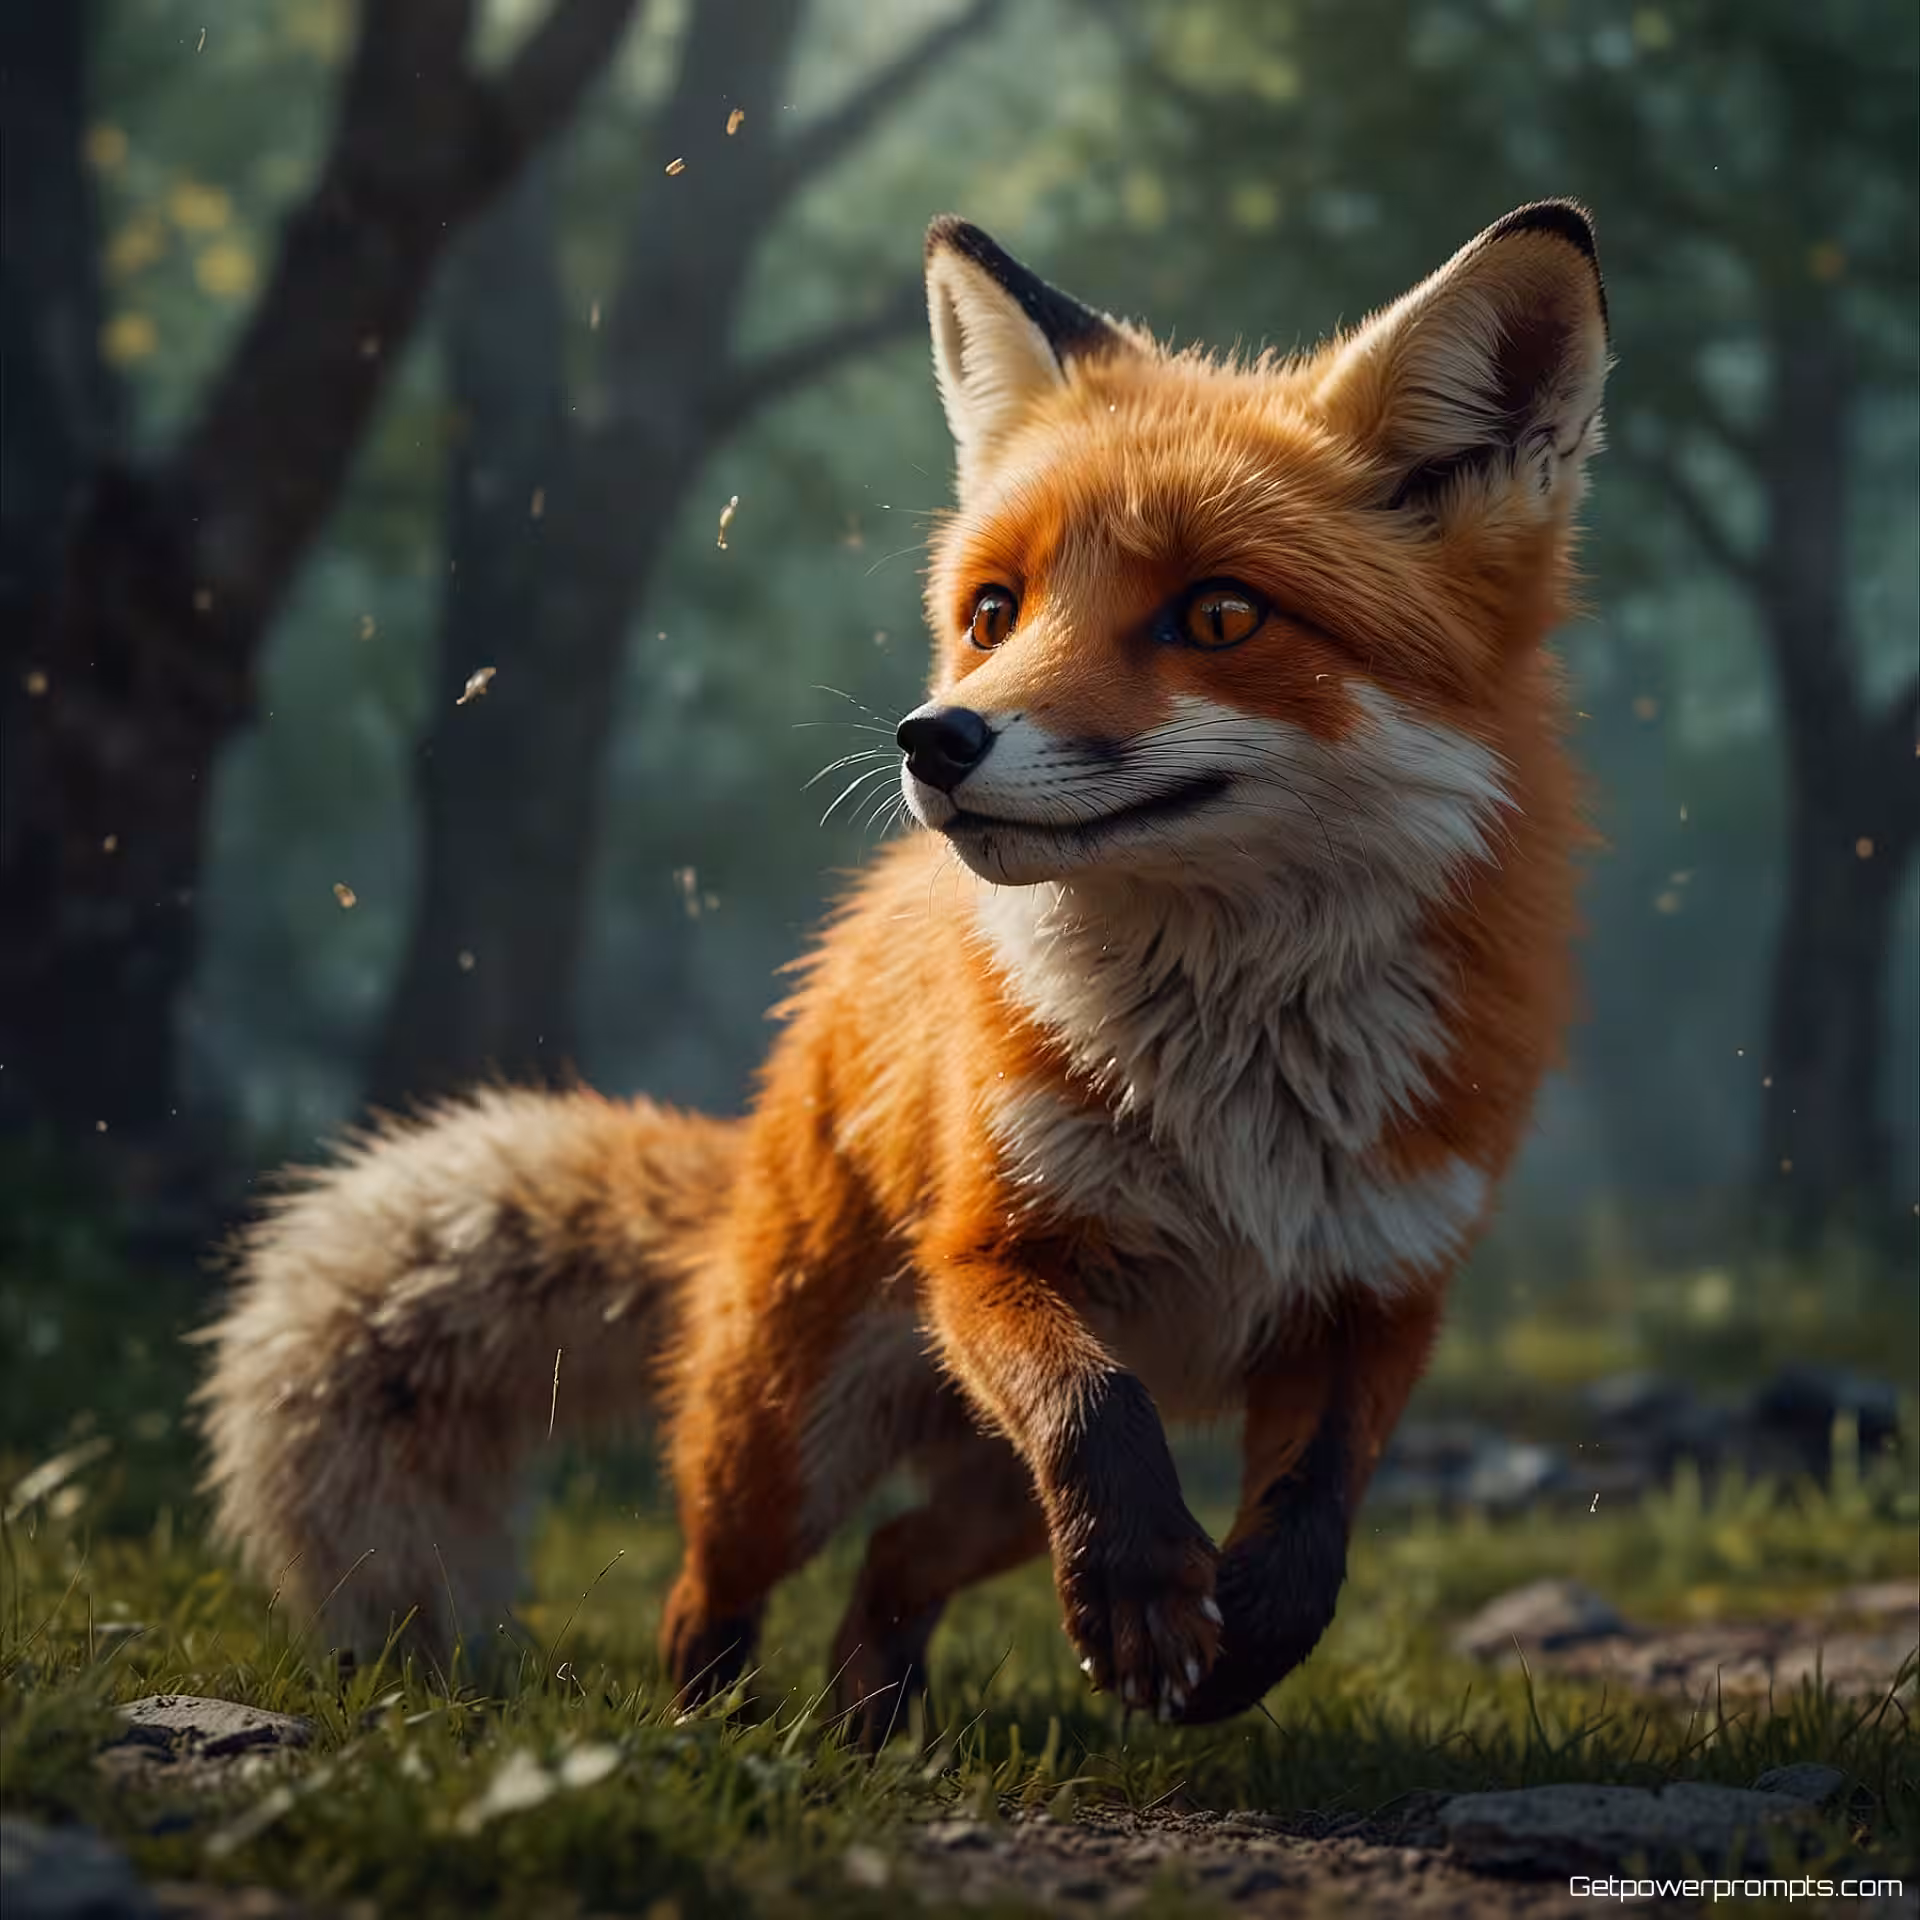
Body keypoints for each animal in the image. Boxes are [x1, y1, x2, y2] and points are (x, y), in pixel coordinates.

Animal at [198, 201, 1609, 1737]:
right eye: (995, 610)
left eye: (1221, 617)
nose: (935, 740)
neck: (1241, 1082)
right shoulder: (989, 1252)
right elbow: (1094, 1411)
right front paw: (1143, 1604)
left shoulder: (1380, 1296)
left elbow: (1311, 1510)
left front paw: (1243, 1641)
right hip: (787, 1442)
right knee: (714, 1583)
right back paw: (723, 1728)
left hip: (987, 1499)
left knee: (897, 1559)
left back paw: (876, 1720)